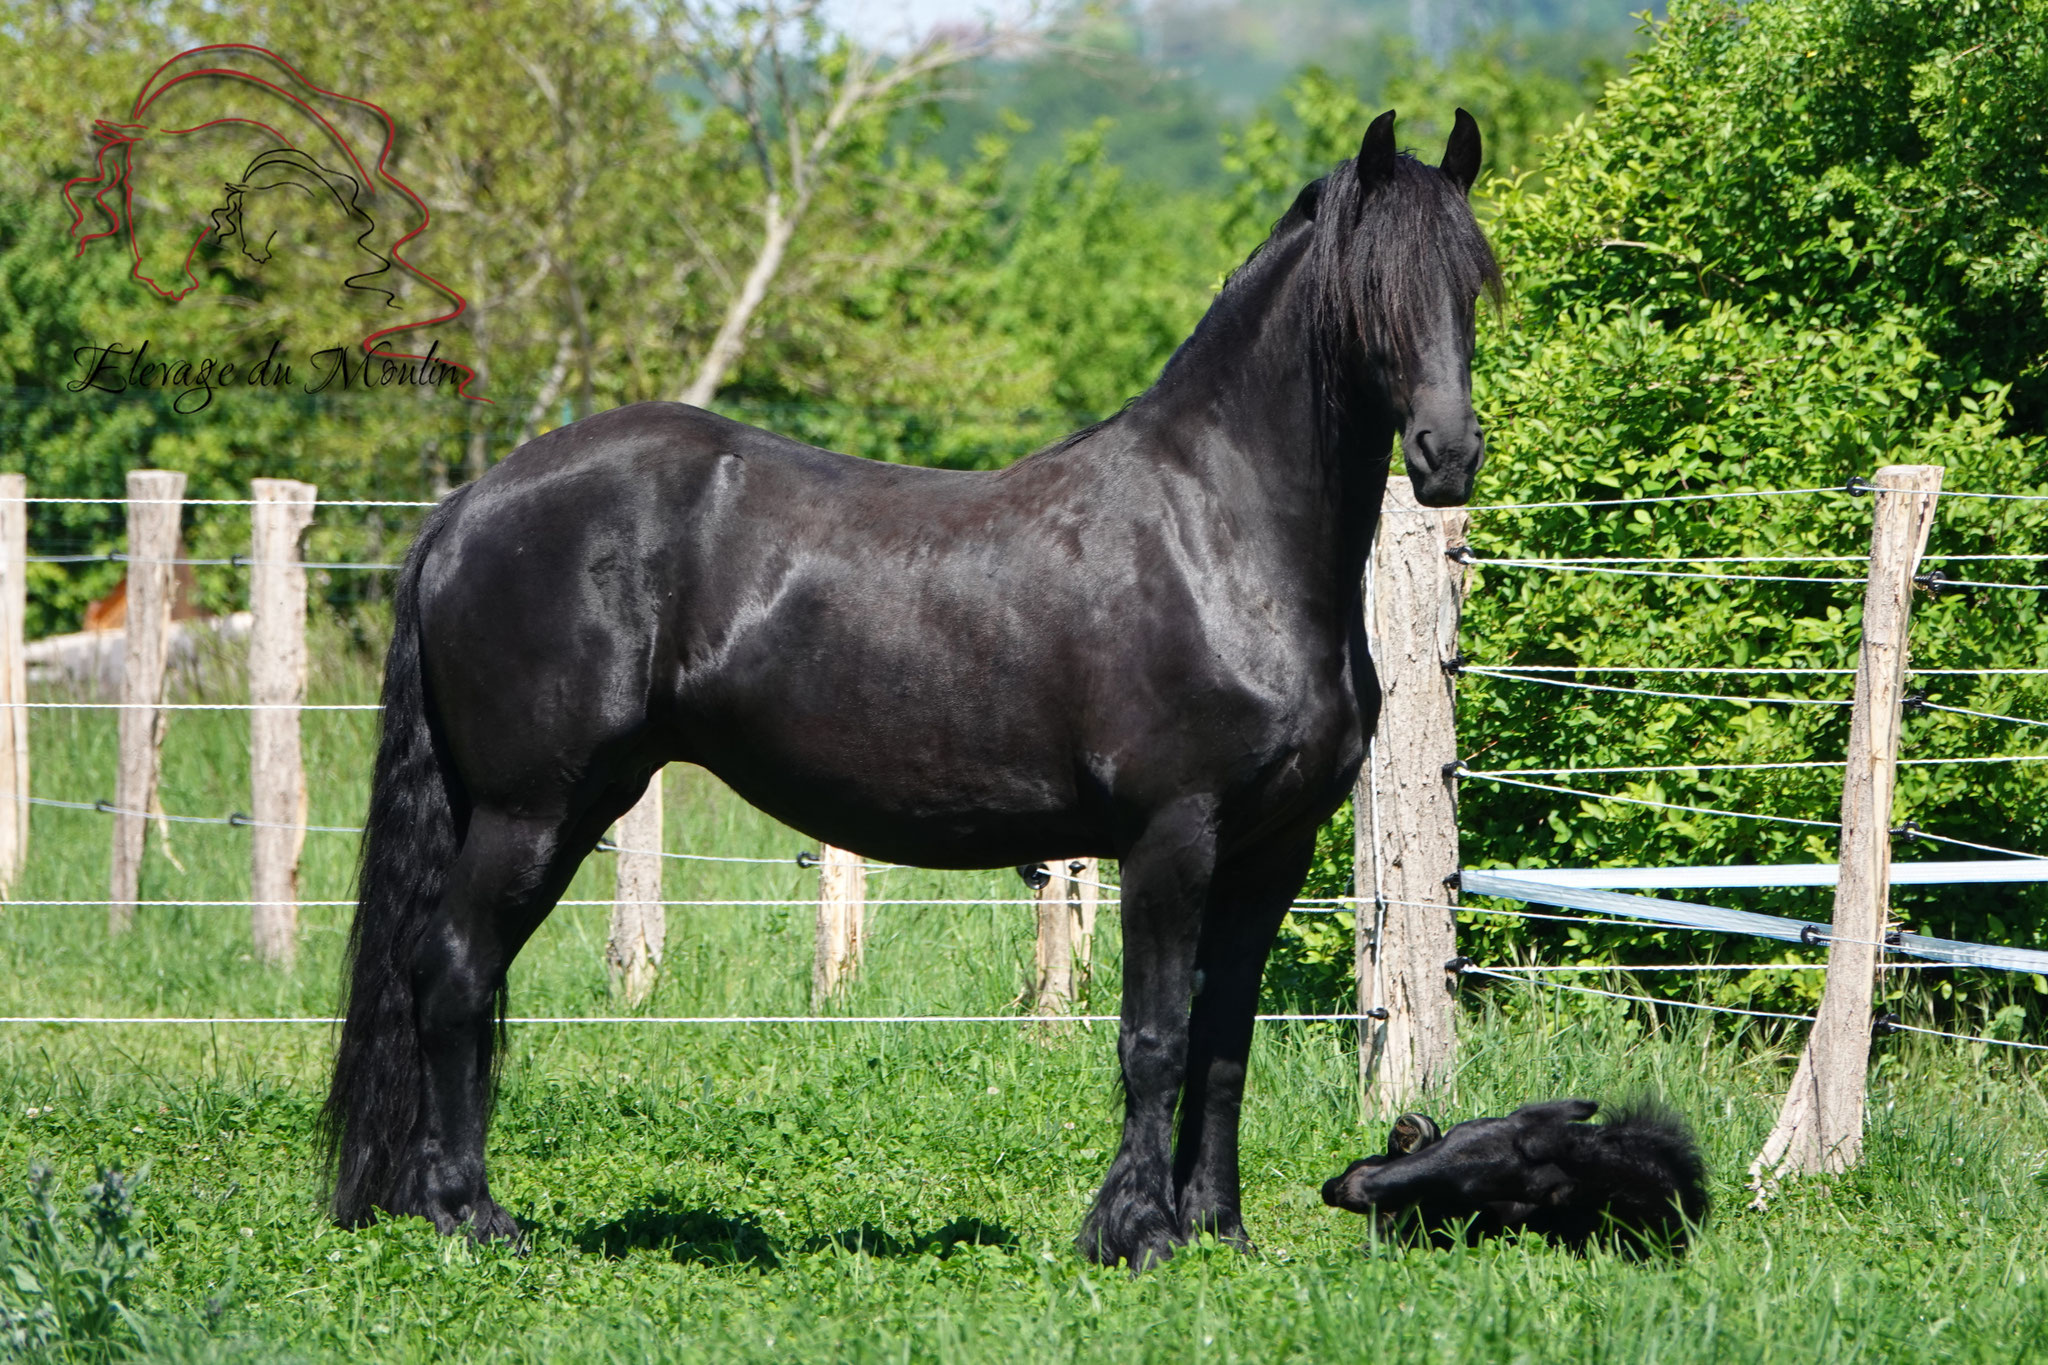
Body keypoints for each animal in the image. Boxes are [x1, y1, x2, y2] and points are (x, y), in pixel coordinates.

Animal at [323, 108, 1500, 1271]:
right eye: (1375, 288)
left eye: (1470, 282)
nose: (1446, 455)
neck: (1217, 534)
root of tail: (468, 508)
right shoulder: (1171, 836)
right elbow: (1154, 1038)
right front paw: (1137, 1234)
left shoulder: (1272, 848)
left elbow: (1221, 1042)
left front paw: (1219, 1228)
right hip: (533, 810)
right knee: (455, 973)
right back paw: (467, 1215)